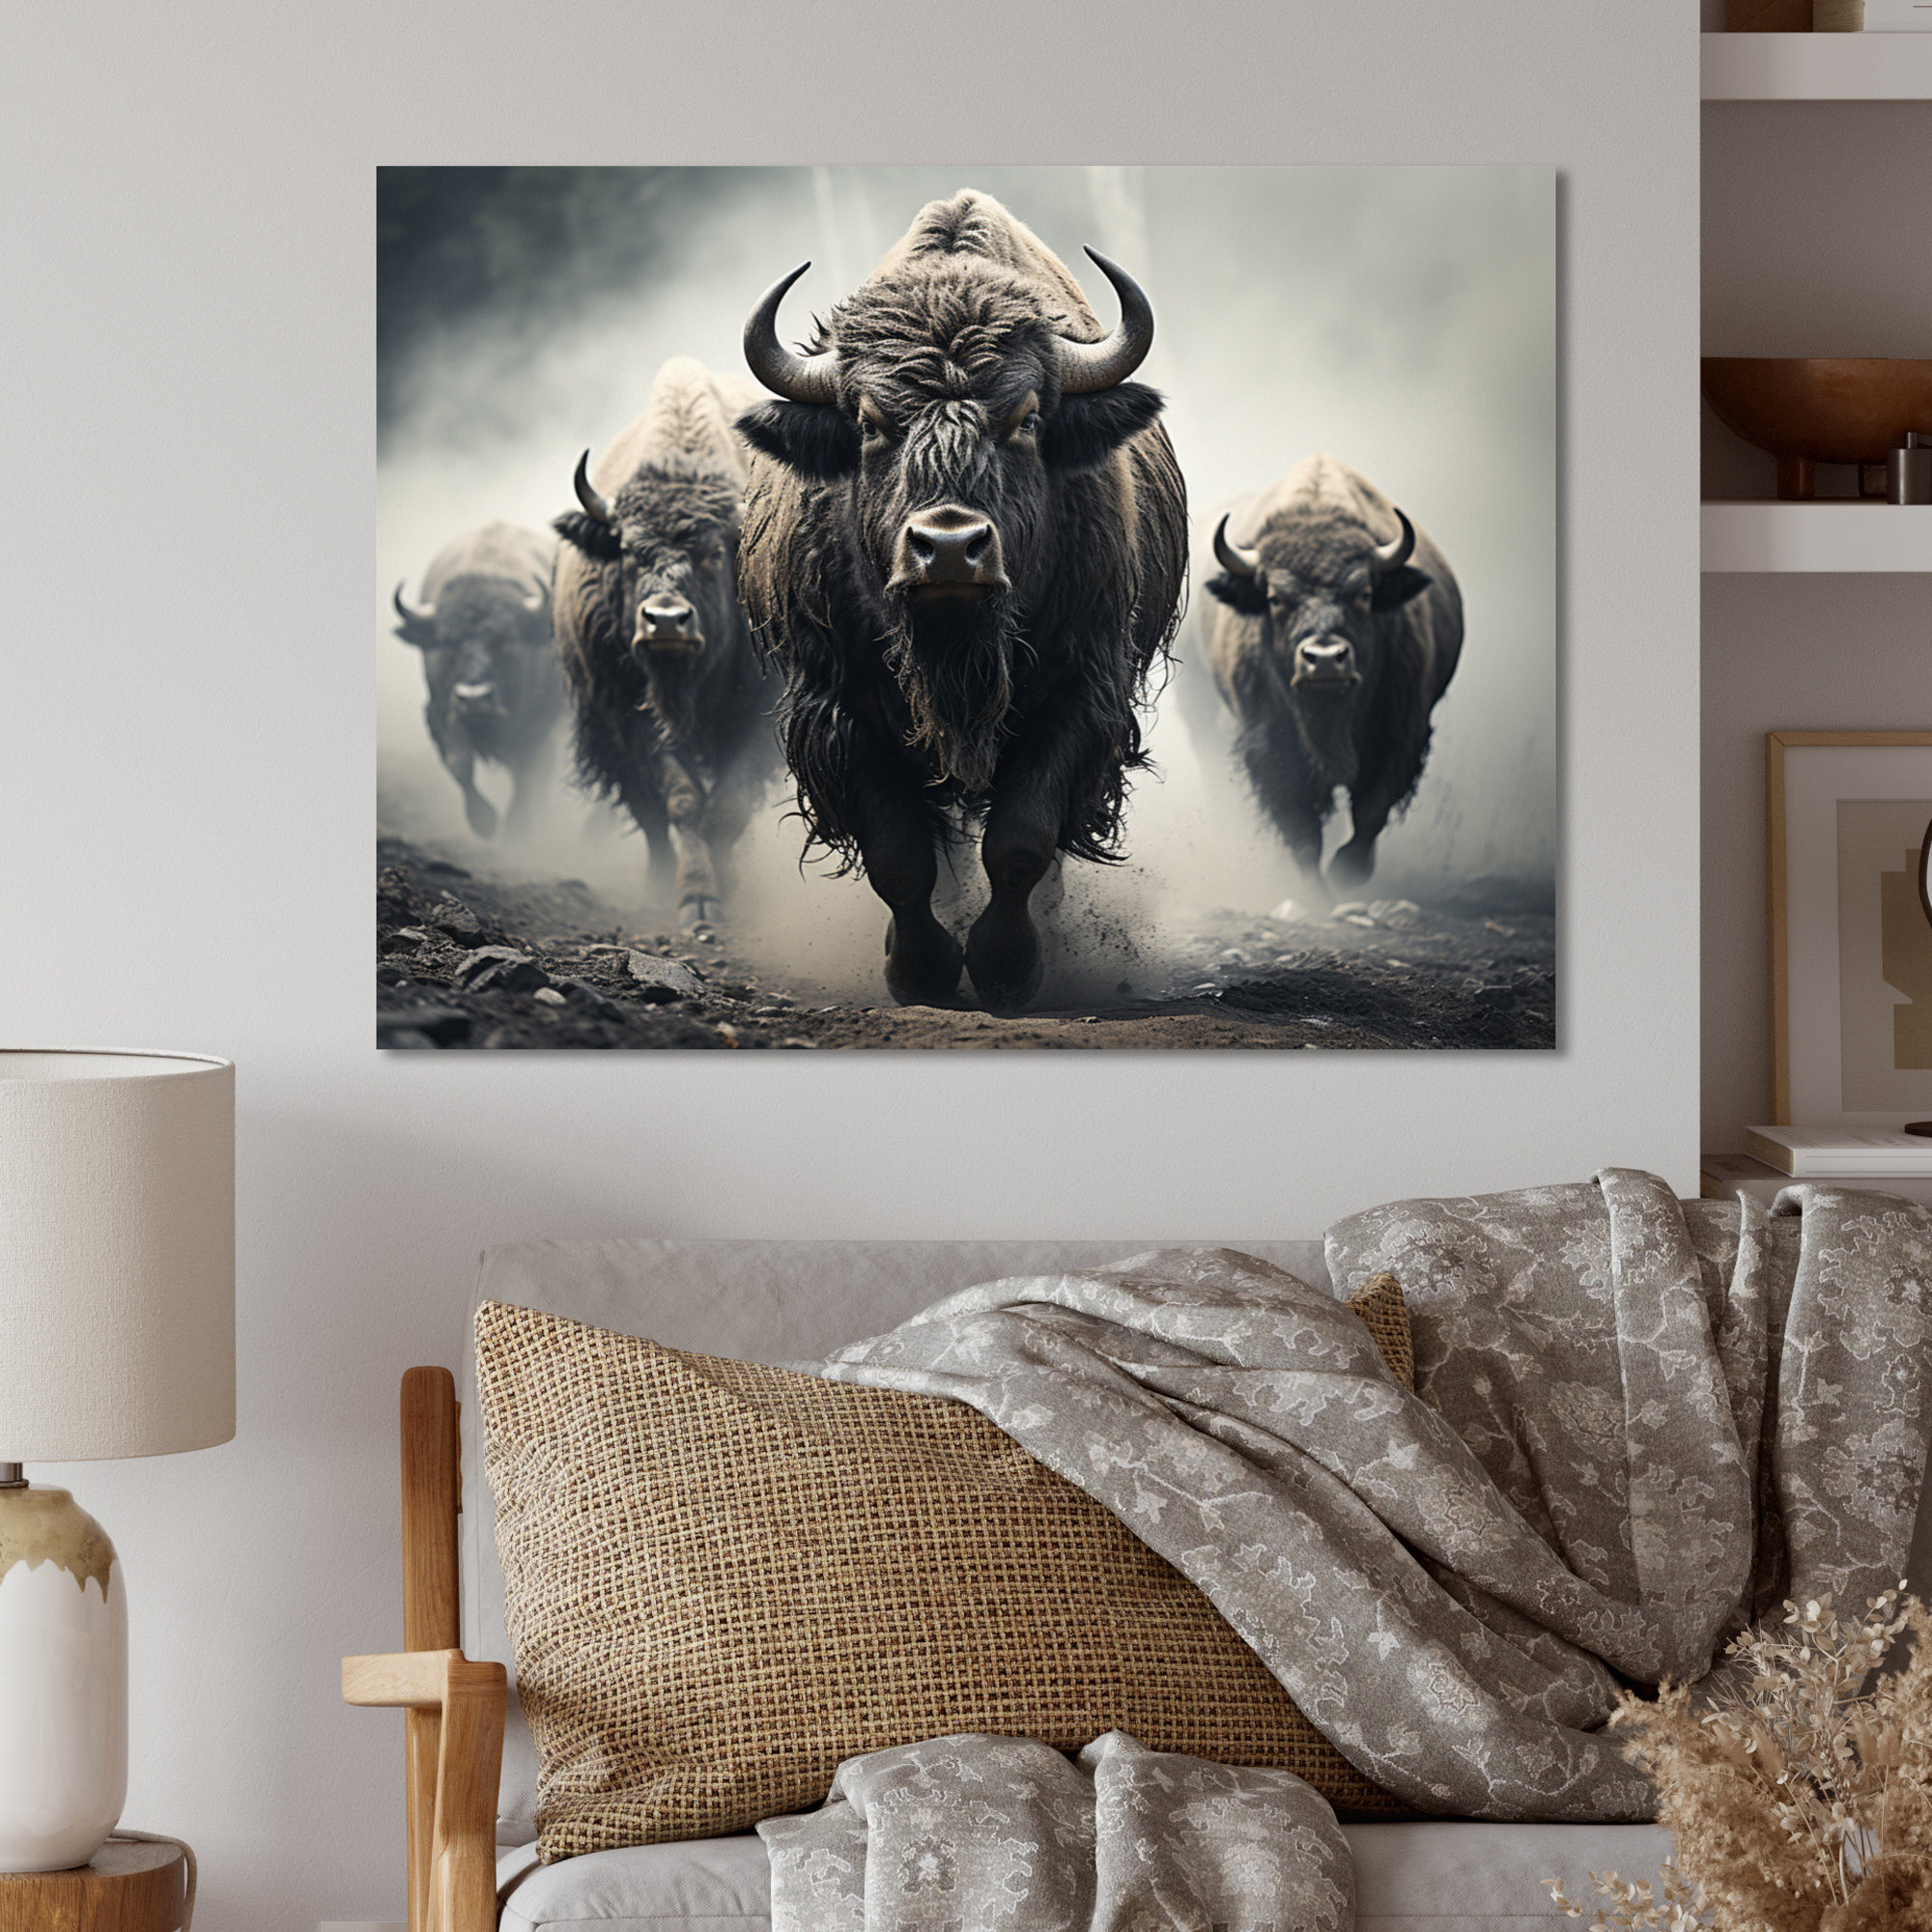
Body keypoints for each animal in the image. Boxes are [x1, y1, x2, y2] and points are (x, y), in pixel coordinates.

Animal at [392, 522, 565, 841]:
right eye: (447, 642)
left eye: (508, 639)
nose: (474, 699)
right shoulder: (440, 712)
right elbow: (459, 763)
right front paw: (484, 822)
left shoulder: (537, 726)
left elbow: (526, 776)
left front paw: (517, 832)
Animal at [552, 357, 777, 928]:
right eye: (631, 551)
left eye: (715, 553)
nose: (666, 622)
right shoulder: (630, 715)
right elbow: (681, 800)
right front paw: (697, 902)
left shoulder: (760, 716)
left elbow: (728, 806)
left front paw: (727, 888)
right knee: (647, 811)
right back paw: (656, 882)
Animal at [735, 189, 1187, 1014]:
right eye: (870, 422)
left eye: (1027, 418)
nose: (948, 546)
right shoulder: (839, 707)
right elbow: (900, 858)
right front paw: (921, 972)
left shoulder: (1081, 695)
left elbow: (1021, 842)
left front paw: (1009, 969)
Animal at [1202, 455, 1463, 894]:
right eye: (1275, 598)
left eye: (1364, 594)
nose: (1324, 659)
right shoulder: (1272, 749)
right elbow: (1302, 830)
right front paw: (1313, 892)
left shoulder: (1400, 736)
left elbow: (1372, 808)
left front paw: (1347, 872)